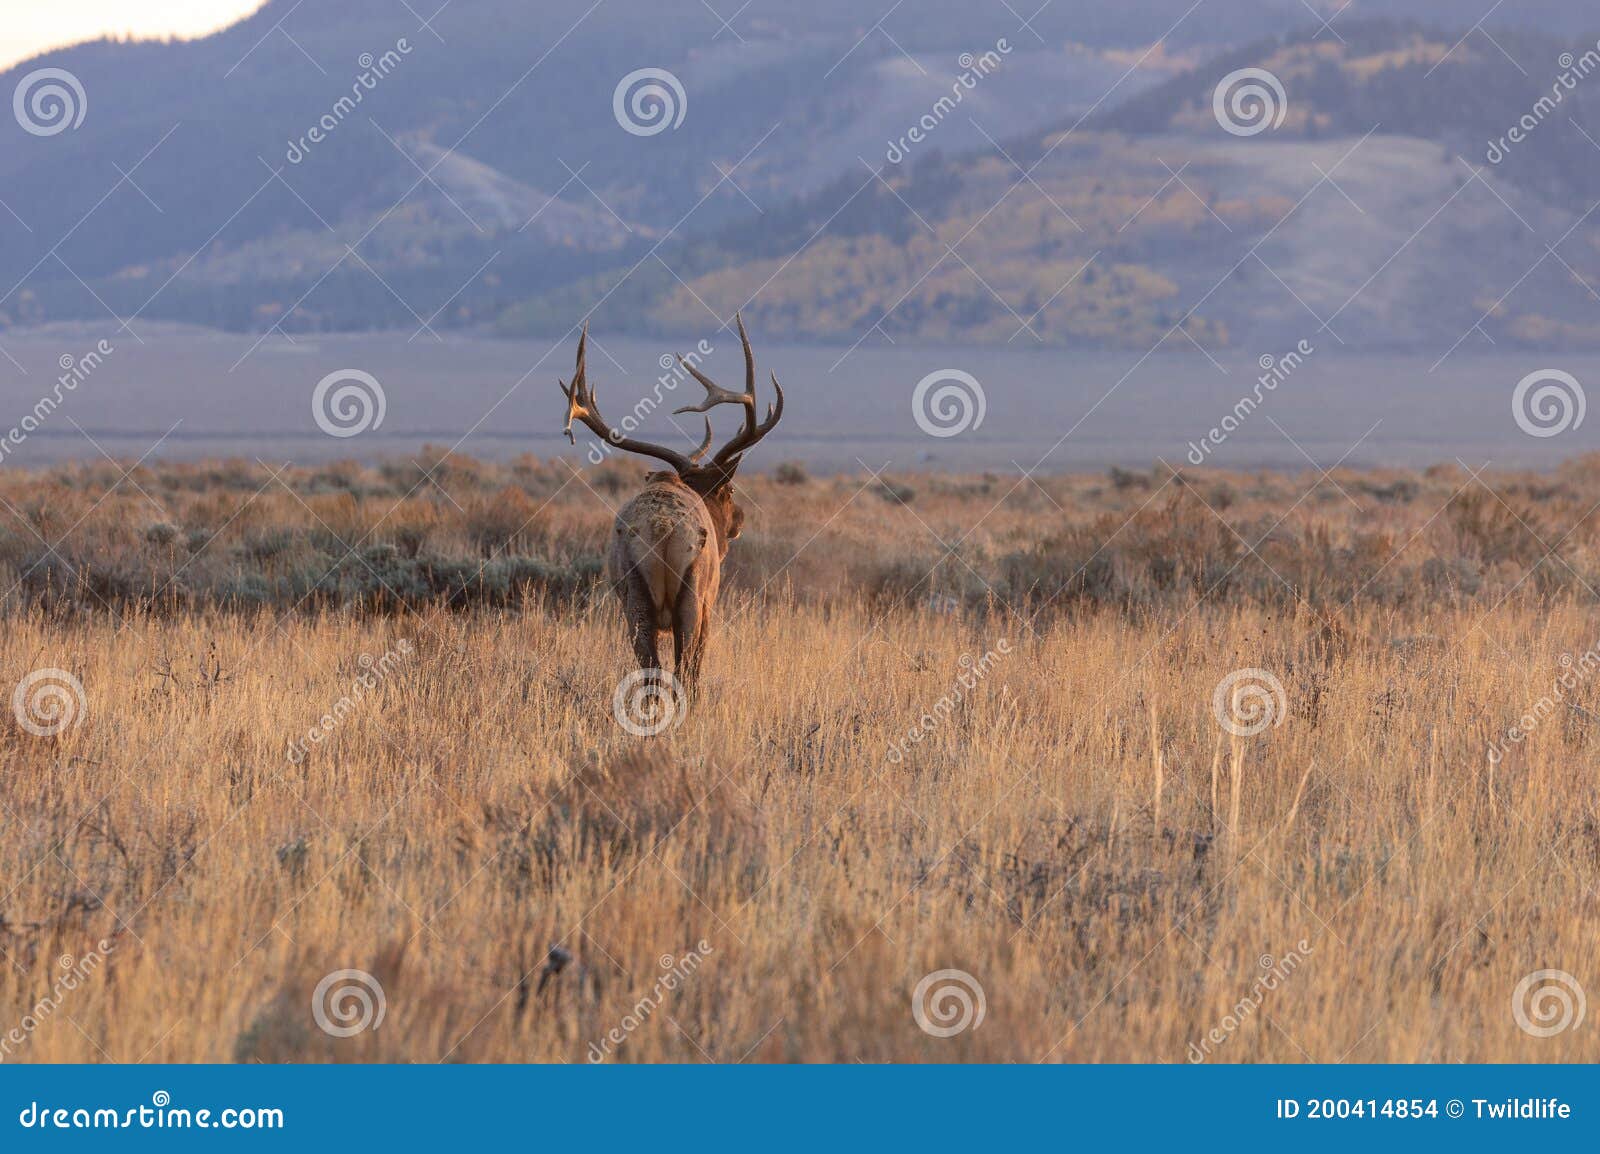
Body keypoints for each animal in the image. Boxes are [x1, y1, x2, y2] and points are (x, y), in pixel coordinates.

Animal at [559, 314, 784, 690]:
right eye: (729, 491)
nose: (739, 519)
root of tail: (663, 531)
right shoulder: (710, 603)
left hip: (633, 598)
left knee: (651, 669)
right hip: (693, 598)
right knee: (685, 671)